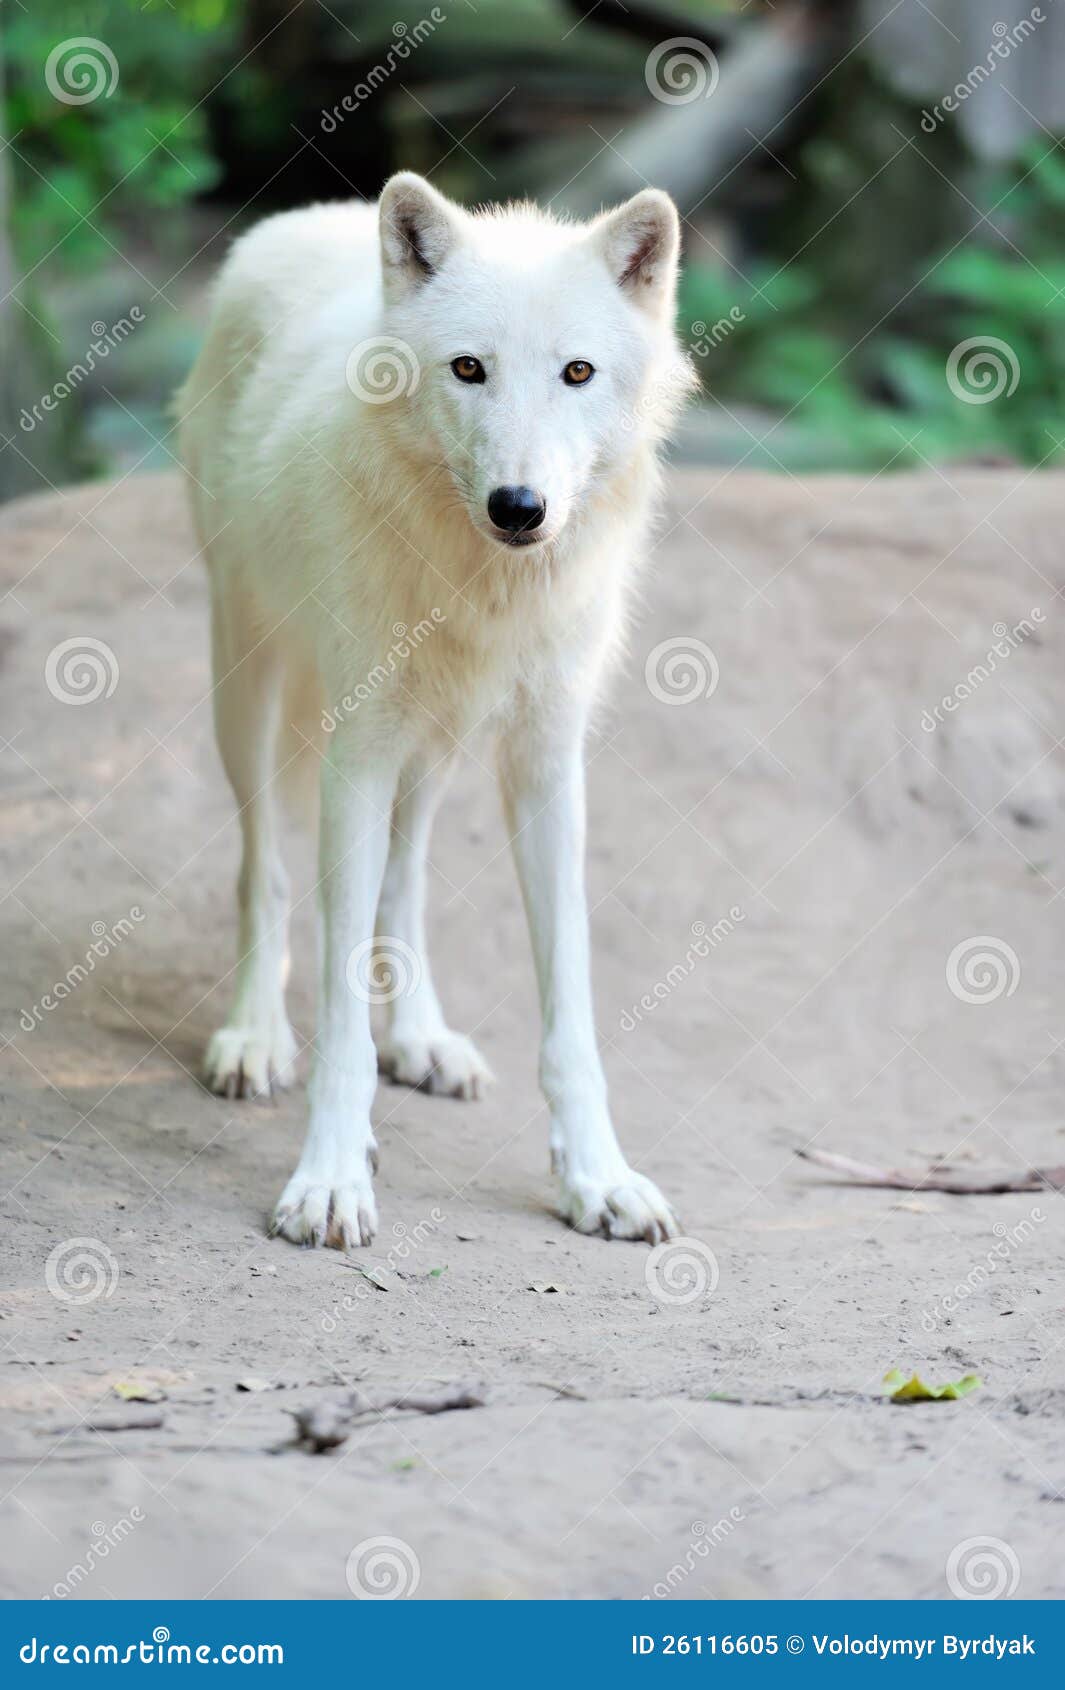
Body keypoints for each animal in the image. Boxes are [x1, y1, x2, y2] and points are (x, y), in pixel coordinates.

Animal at [177, 172, 693, 1250]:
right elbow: (337, 1017)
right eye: (468, 369)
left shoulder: (546, 767)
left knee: (401, 889)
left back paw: (421, 1039)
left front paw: (598, 1177)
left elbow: (570, 1009)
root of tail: (315, 215)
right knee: (266, 874)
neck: (487, 585)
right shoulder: (358, 755)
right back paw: (254, 1036)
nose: (519, 506)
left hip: (438, 743)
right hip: (247, 683)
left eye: (577, 372)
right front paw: (331, 1179)